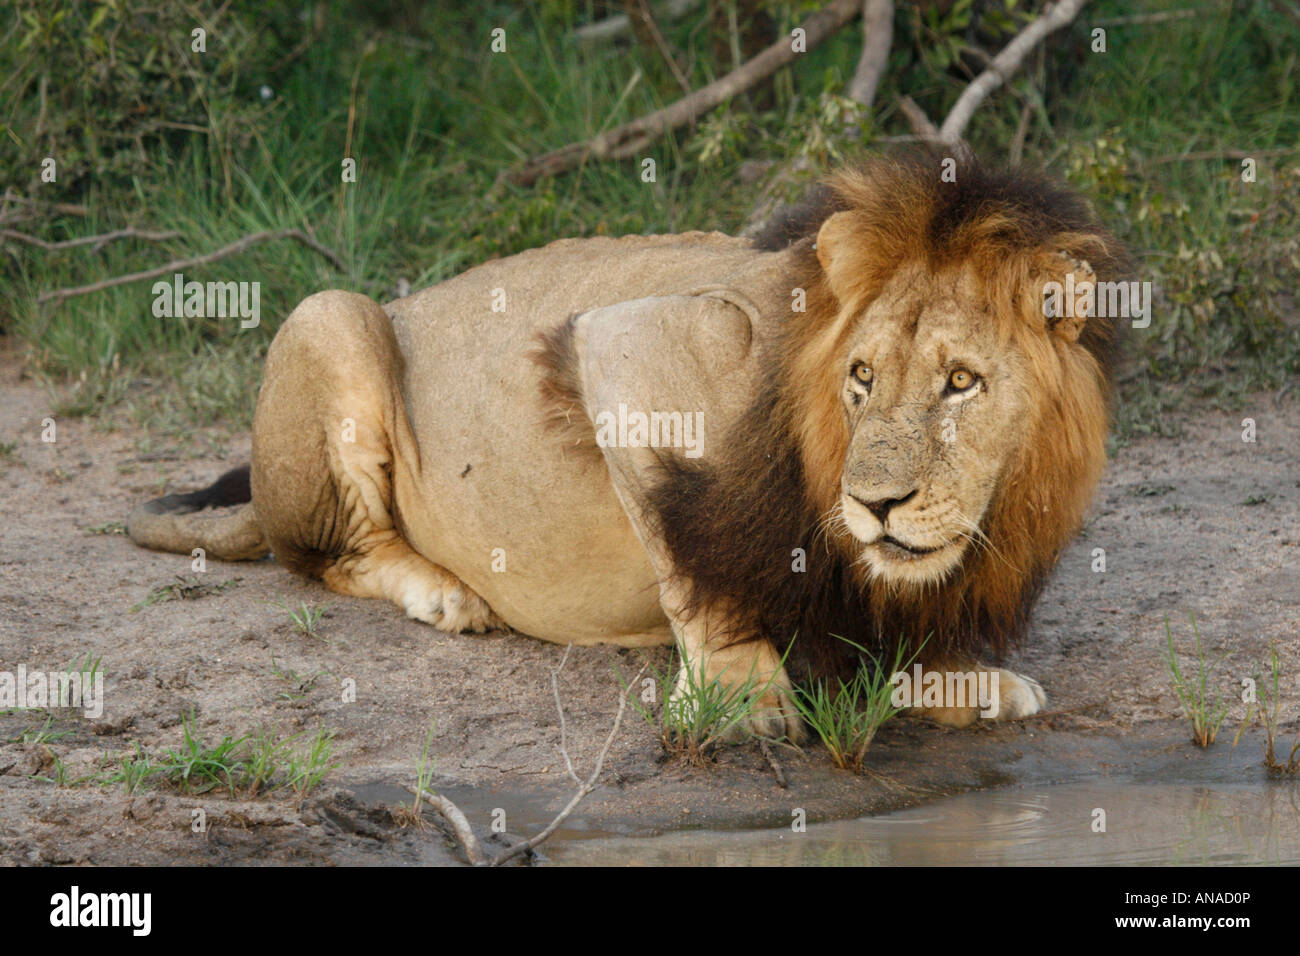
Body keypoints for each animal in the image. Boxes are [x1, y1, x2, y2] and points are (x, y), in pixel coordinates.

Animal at [128, 152, 1127, 741]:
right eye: (862, 378)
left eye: (961, 381)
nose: (875, 504)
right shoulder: (629, 346)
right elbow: (691, 564)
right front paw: (742, 698)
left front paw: (956, 678)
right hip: (331, 314)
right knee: (330, 553)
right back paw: (445, 593)